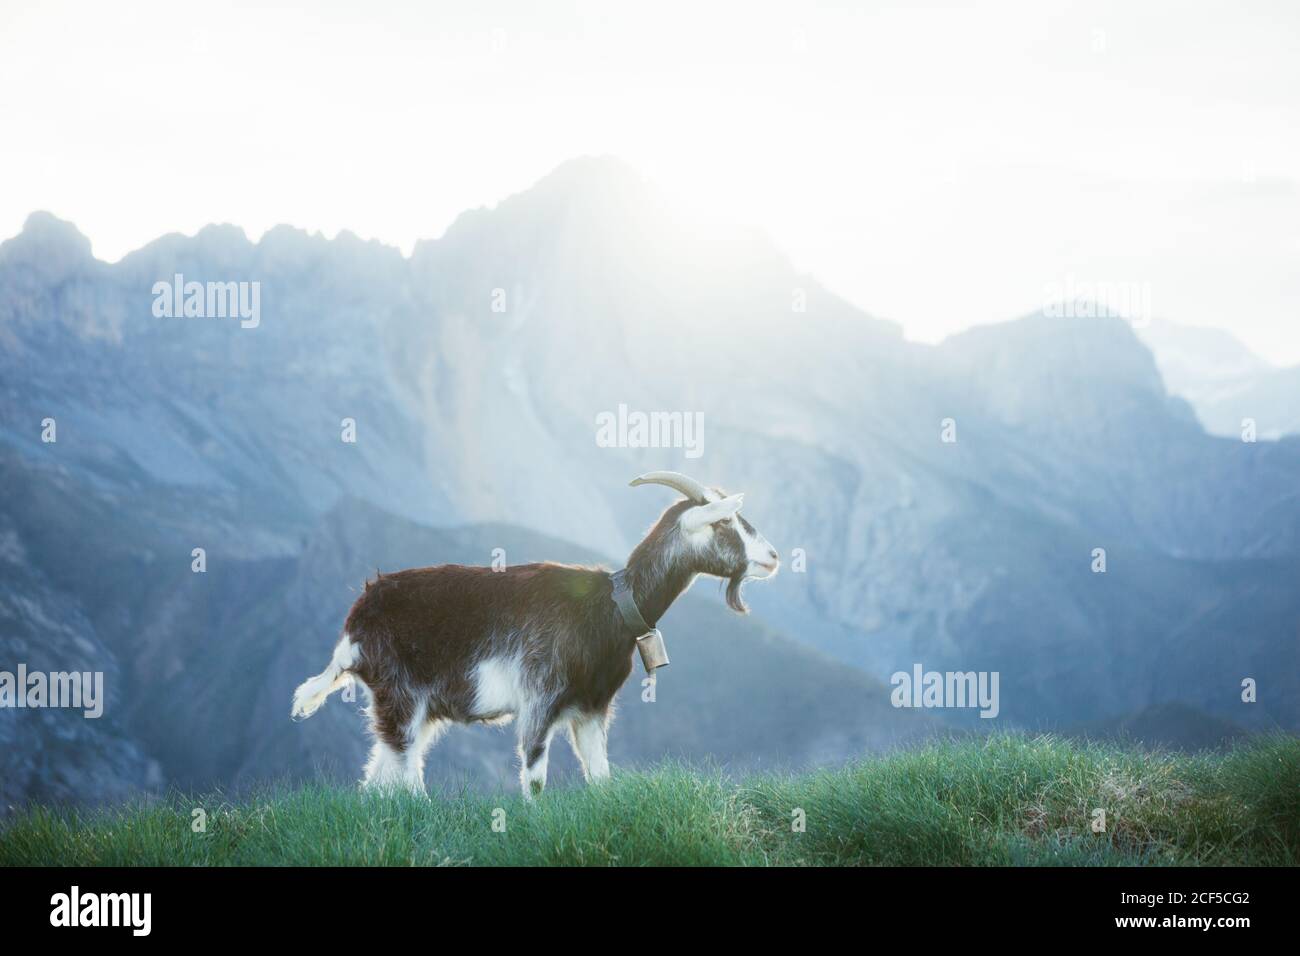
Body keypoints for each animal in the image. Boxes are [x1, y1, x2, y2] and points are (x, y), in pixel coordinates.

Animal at [290, 471, 779, 797]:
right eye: (724, 523)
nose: (773, 556)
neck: (611, 607)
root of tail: (355, 624)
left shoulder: (591, 709)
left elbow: (601, 777)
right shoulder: (539, 699)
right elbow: (536, 779)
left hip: (416, 711)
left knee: (380, 777)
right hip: (402, 697)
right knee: (406, 777)